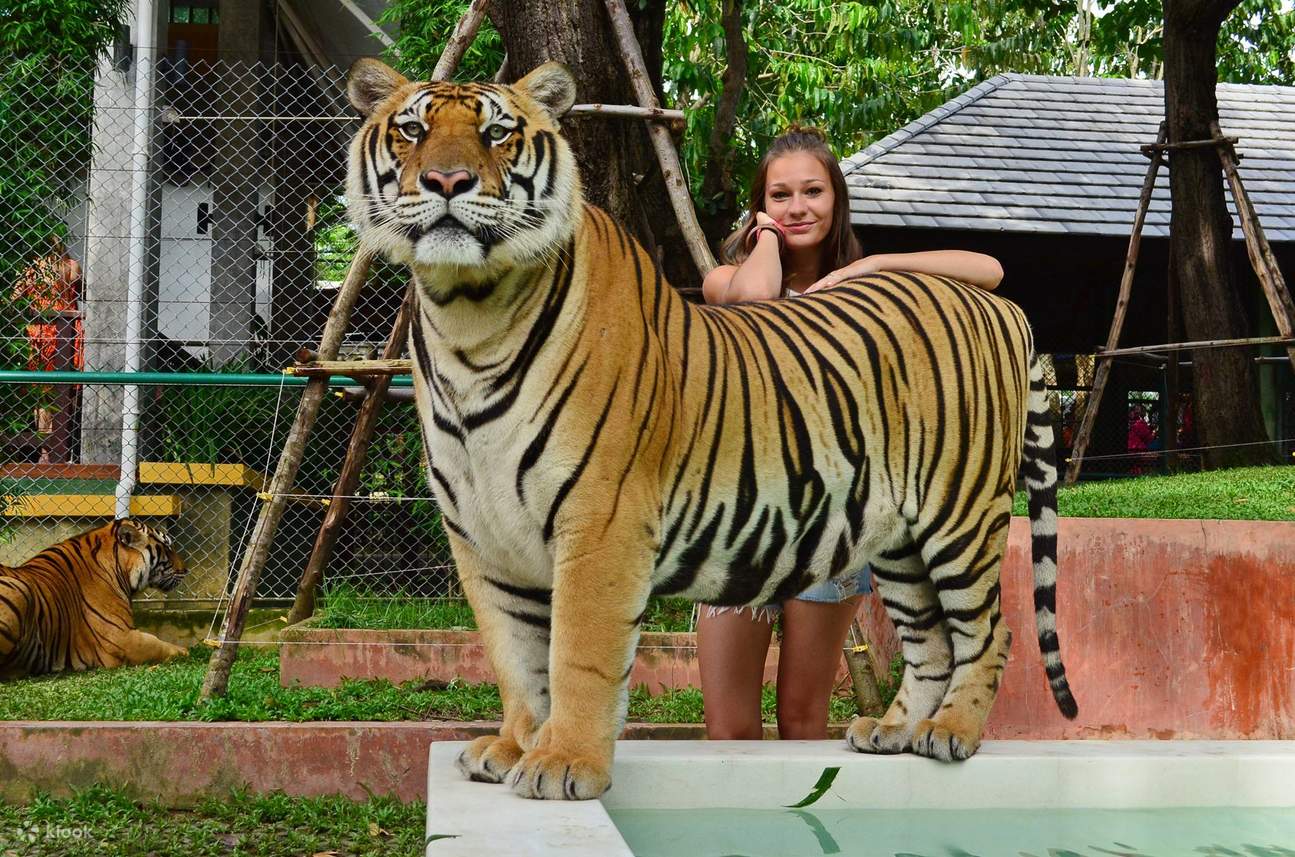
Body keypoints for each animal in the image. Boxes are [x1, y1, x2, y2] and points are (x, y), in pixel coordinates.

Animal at [0, 519, 189, 681]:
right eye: (167, 546)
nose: (186, 570)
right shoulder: (122, 639)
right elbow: (159, 644)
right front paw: (185, 651)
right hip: (20, 589)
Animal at [345, 57, 1078, 801]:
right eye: (412, 130)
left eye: (497, 133)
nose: (447, 181)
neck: (469, 315)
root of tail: (1000, 303)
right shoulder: (480, 533)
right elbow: (516, 657)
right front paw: (514, 744)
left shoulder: (599, 520)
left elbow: (577, 654)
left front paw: (562, 762)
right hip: (898, 537)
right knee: (930, 639)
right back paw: (896, 731)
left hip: (959, 511)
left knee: (989, 631)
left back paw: (951, 730)